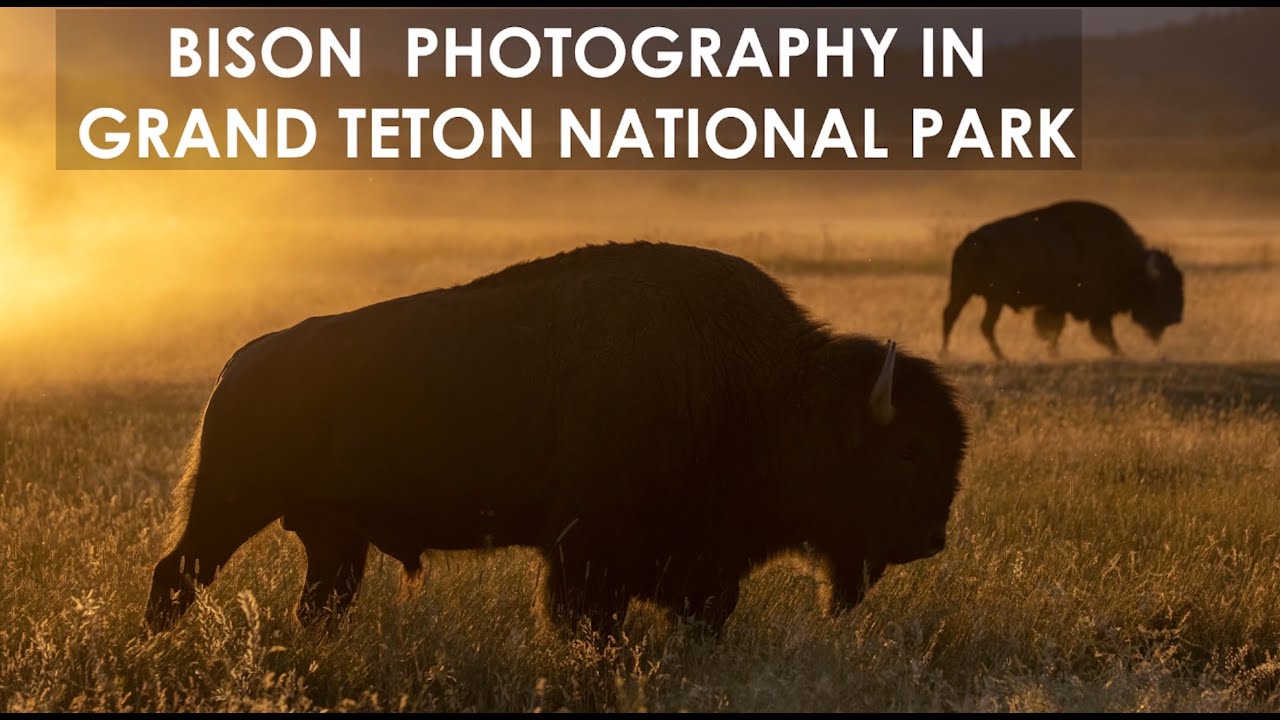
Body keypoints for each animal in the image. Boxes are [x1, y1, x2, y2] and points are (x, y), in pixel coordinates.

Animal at [146, 241, 968, 636]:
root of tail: (243, 362)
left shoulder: (698, 565)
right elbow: (587, 622)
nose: (931, 540)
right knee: (175, 576)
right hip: (230, 506)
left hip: (334, 538)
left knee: (318, 604)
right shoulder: (587, 554)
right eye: (906, 454)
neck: (764, 388)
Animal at [941, 200, 1184, 359]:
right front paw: (1121, 353)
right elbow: (1089, 332)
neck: (1128, 263)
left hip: (971, 293)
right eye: (1161, 288)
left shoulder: (1061, 307)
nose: (1176, 317)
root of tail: (972, 240)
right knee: (972, 322)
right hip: (986, 297)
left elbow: (1056, 330)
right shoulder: (1085, 309)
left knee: (961, 319)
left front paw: (1054, 353)